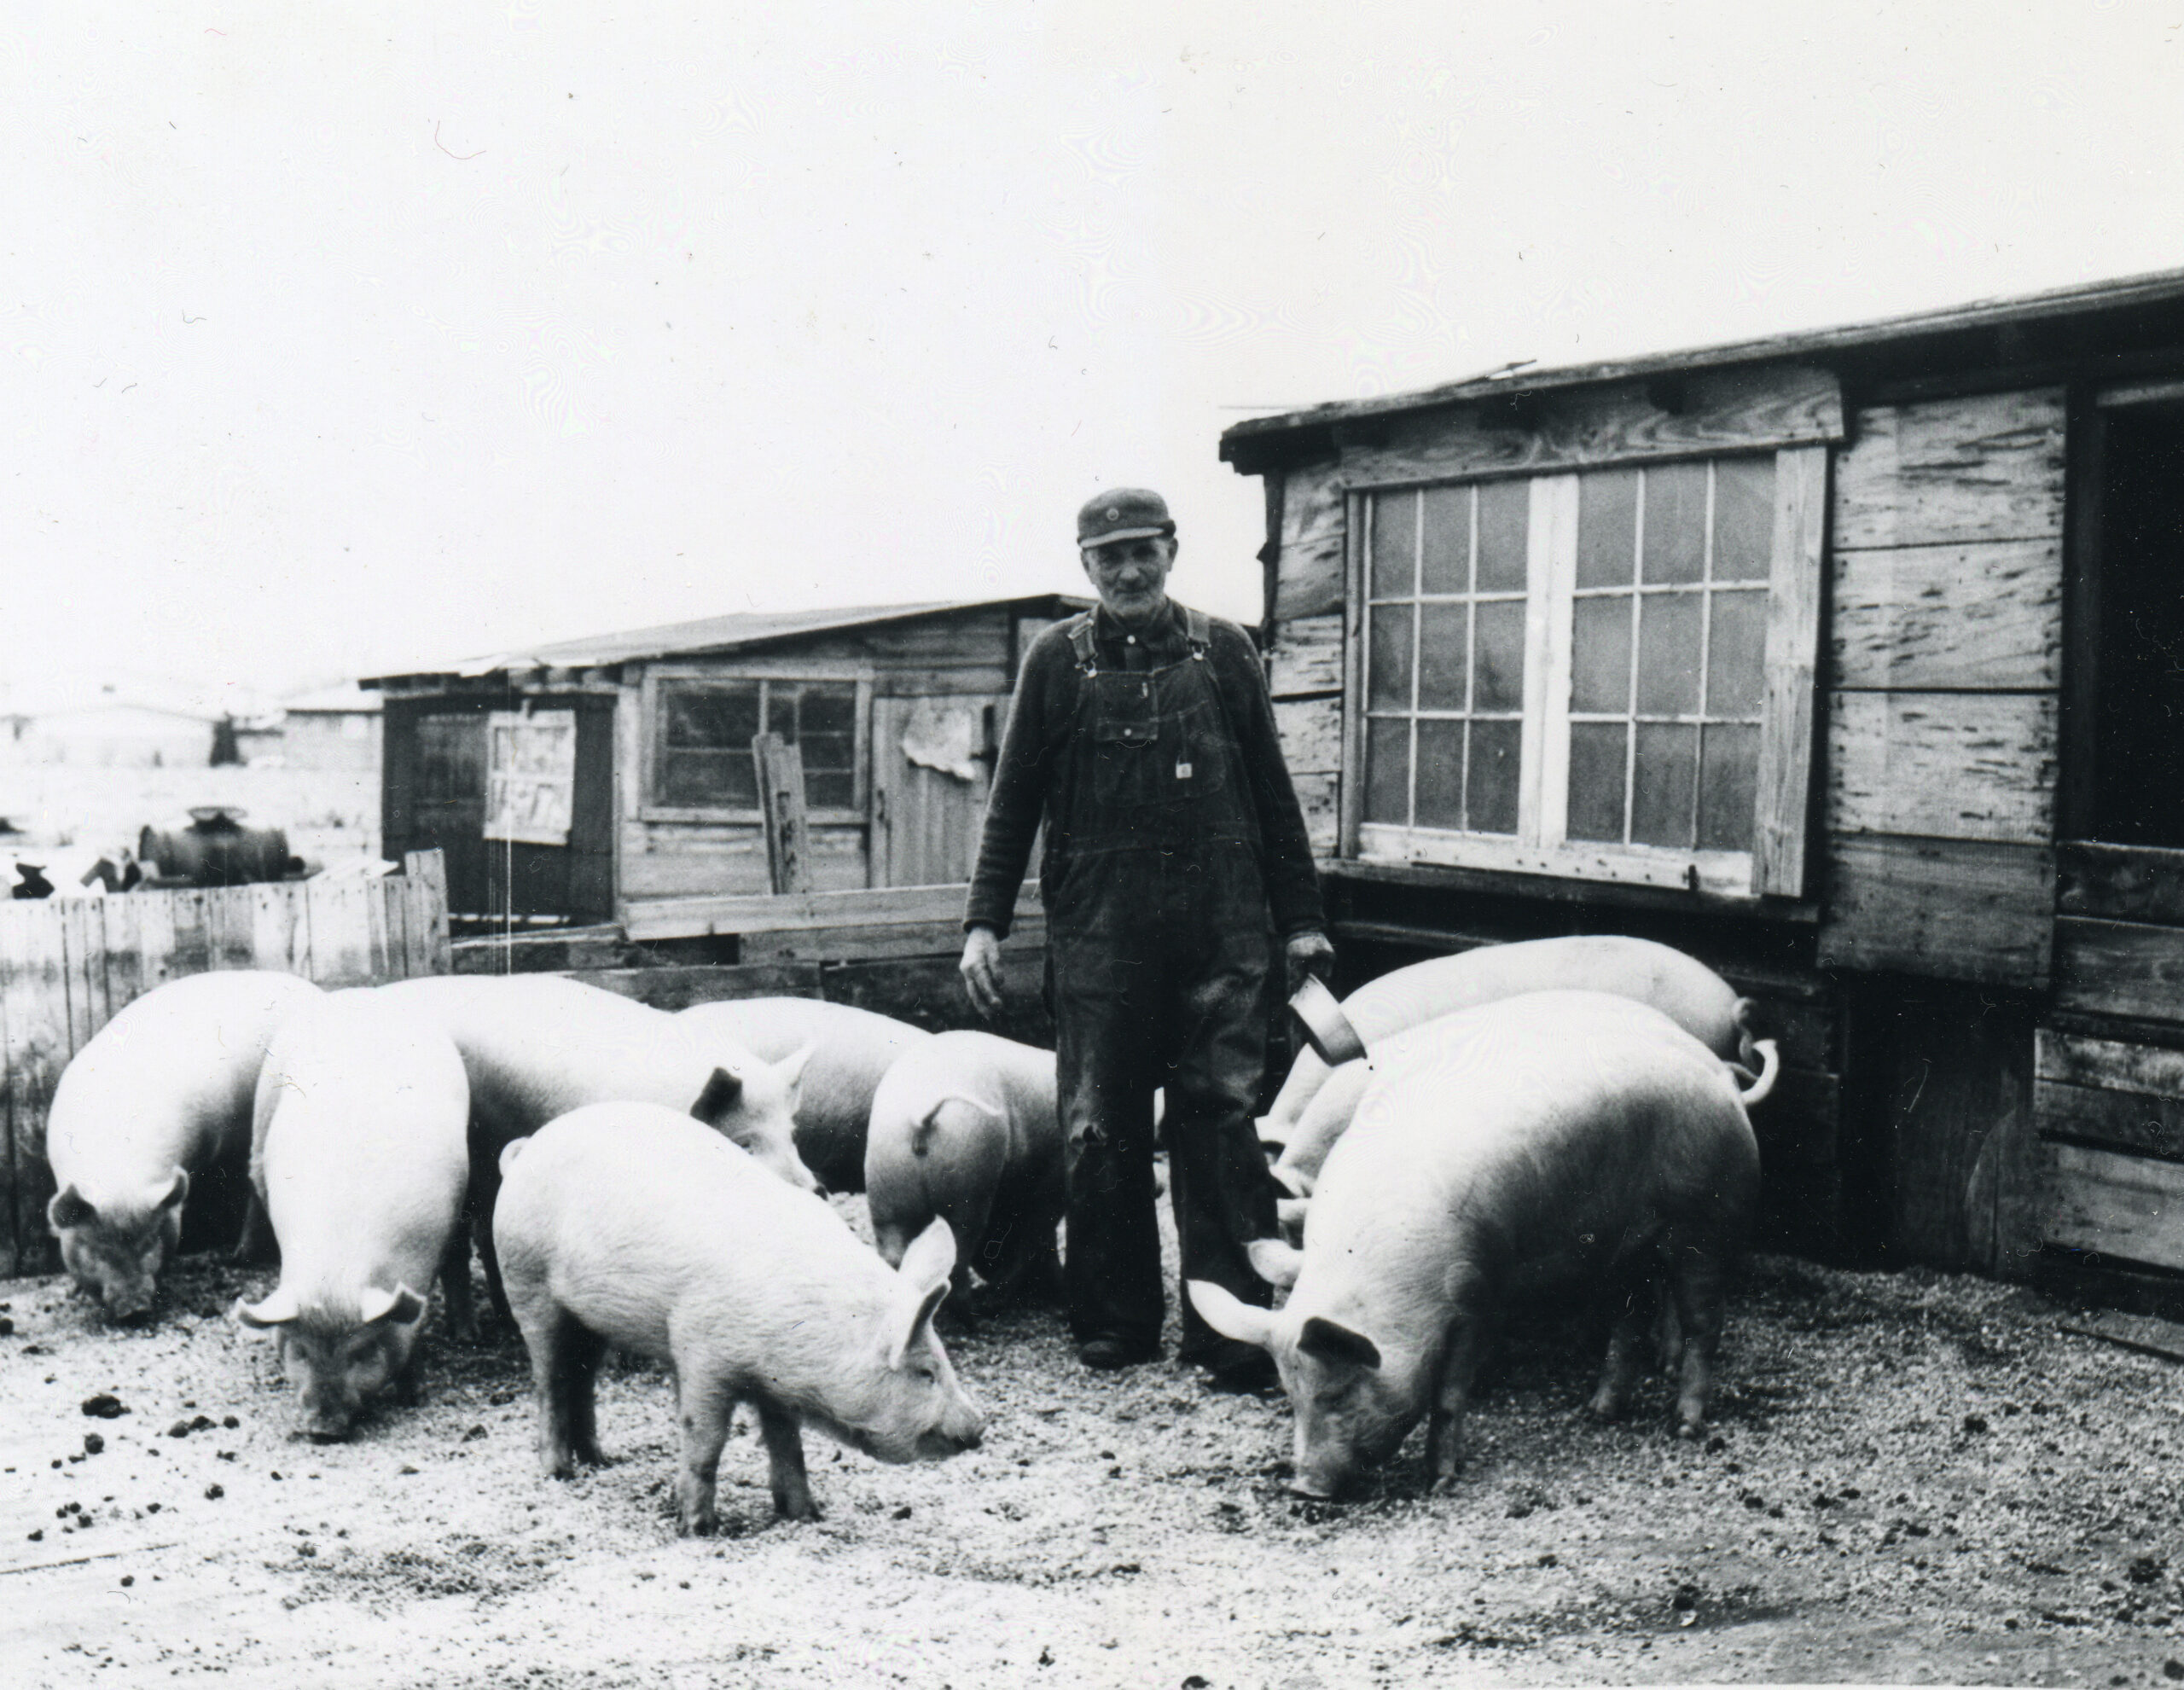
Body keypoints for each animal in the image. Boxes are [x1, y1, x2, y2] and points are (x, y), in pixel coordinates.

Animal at [45, 969, 324, 1320]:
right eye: (99, 1250)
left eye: (150, 1243)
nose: (134, 1309)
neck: (119, 1173)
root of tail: (315, 991)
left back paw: (238, 1258)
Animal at [234, 989, 472, 1440]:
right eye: (300, 1352)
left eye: (362, 1352)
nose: (324, 1429)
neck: (337, 1271)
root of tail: (362, 994)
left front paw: (414, 1394)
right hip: (260, 1117)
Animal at [493, 1101, 985, 1533]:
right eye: (924, 1372)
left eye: (943, 1362)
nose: (980, 1426)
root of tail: (526, 1150)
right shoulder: (700, 1354)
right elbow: (705, 1441)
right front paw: (700, 1529)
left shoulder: (775, 1387)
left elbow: (788, 1445)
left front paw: (806, 1515)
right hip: (527, 1283)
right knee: (550, 1382)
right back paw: (559, 1472)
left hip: (590, 1320)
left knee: (582, 1378)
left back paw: (600, 1460)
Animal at [864, 1030, 1062, 1310]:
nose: (1058, 1292)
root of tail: (921, 1116)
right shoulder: (1054, 1179)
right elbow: (1037, 1232)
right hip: (968, 1170)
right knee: (959, 1251)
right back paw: (972, 1311)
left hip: (885, 1176)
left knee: (893, 1249)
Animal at [1192, 989, 1760, 1500]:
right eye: (1291, 1395)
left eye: (1337, 1391)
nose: (1306, 1488)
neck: (1393, 1288)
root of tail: (1721, 1076)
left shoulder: (1473, 1298)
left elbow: (1448, 1398)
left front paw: (1441, 1482)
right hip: (1628, 1248)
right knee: (1629, 1322)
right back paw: (1598, 1412)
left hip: (1708, 1225)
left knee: (1704, 1324)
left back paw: (1684, 1424)